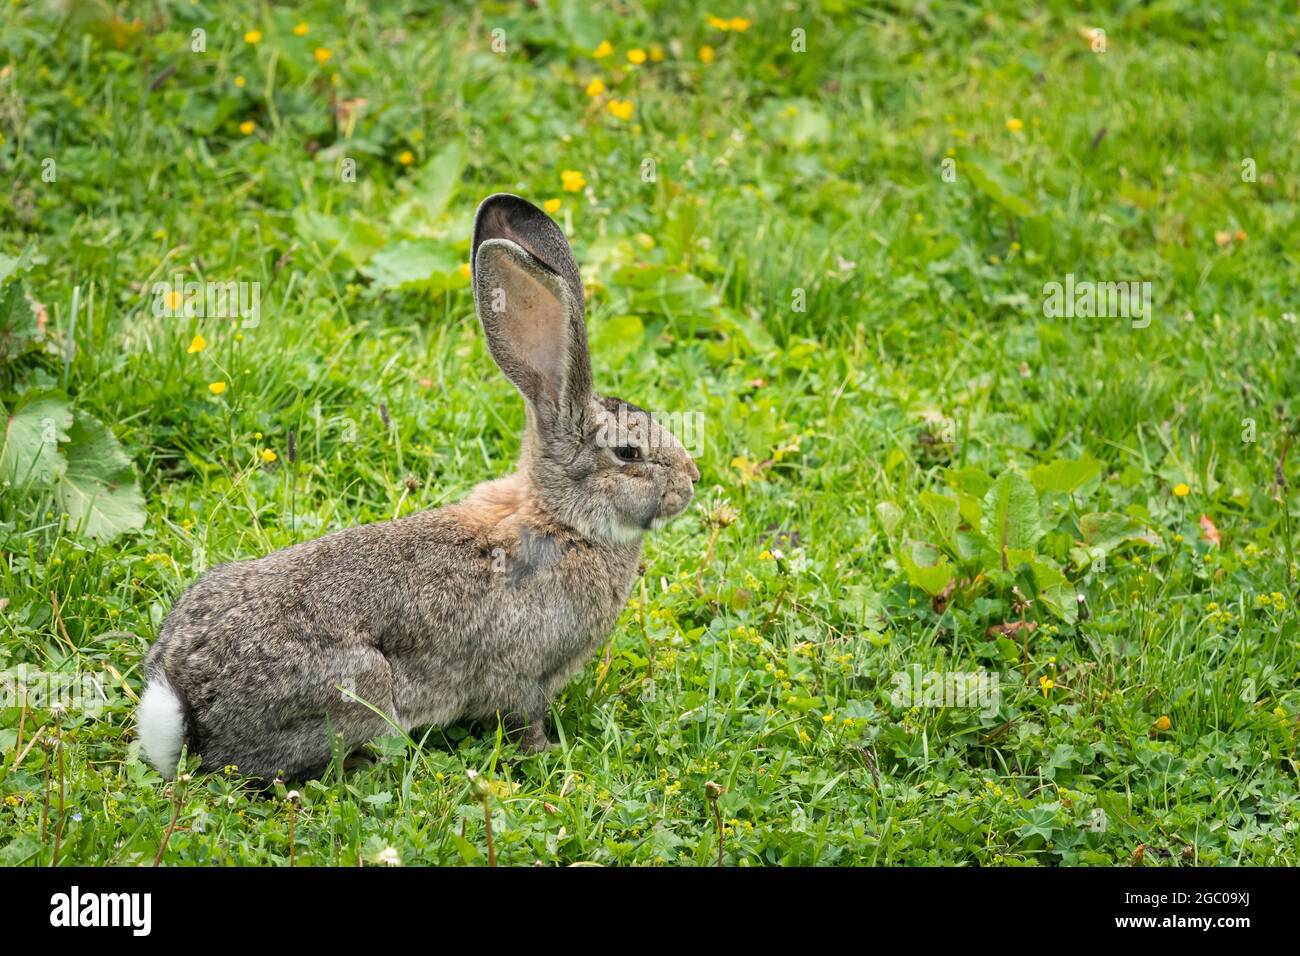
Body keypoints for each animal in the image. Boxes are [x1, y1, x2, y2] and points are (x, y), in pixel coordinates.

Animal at [137, 194, 700, 780]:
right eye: (629, 454)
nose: (692, 480)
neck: (565, 522)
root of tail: (185, 711)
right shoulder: (524, 676)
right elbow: (524, 720)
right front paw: (549, 754)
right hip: (361, 687)